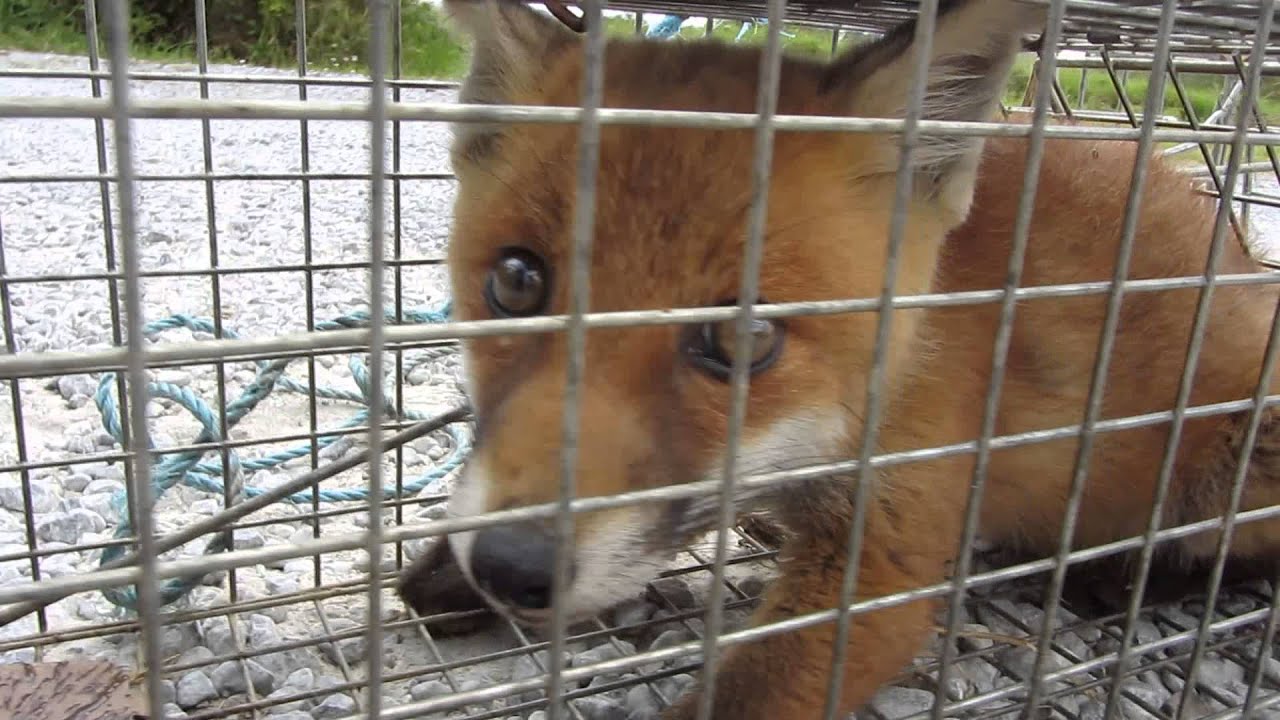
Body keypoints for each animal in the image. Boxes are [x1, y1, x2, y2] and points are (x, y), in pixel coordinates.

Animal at [394, 1, 1280, 718]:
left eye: (745, 339)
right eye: (516, 281)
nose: (509, 565)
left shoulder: (881, 562)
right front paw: (450, 575)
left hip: (1241, 455)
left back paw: (1129, 575)